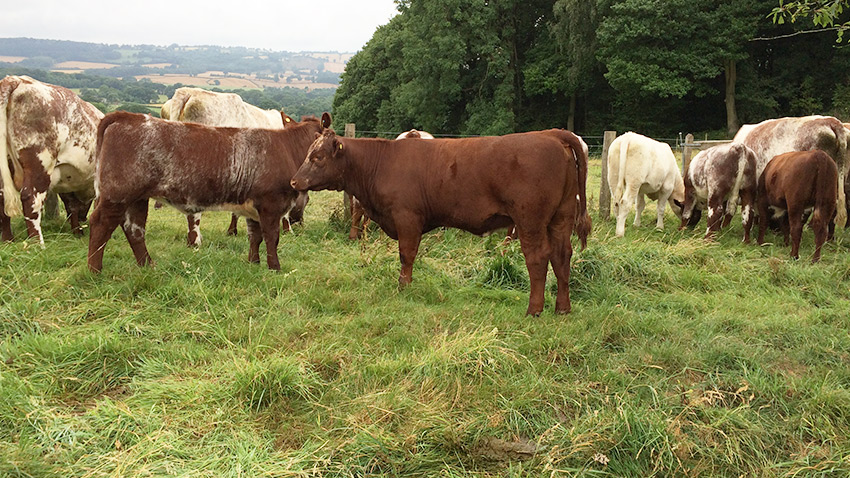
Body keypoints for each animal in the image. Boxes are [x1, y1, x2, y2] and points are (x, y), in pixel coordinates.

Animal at [0, 75, 103, 243]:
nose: (84, 220)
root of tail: (16, 79)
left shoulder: (66, 177)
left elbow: (71, 205)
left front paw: (76, 231)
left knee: (2, 198)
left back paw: (8, 240)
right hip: (40, 164)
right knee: (30, 199)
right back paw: (37, 243)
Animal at [87, 111, 331, 273]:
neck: (288, 149)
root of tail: (126, 116)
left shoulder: (254, 208)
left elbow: (255, 236)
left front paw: (254, 263)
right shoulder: (271, 203)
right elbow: (272, 237)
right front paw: (275, 268)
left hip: (137, 198)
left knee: (134, 229)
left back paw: (148, 265)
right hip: (117, 195)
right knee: (101, 223)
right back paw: (94, 270)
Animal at [160, 87, 308, 244]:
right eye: (307, 200)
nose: (300, 224)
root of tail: (188, 92)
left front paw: (233, 231)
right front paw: (287, 229)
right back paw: (195, 241)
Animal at [290, 128, 591, 316]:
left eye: (317, 157)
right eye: (308, 154)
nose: (294, 181)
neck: (382, 162)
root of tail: (551, 134)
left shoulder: (407, 218)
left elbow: (406, 255)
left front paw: (403, 287)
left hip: (530, 219)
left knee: (538, 258)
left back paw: (534, 309)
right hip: (561, 217)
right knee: (562, 256)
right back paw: (562, 308)